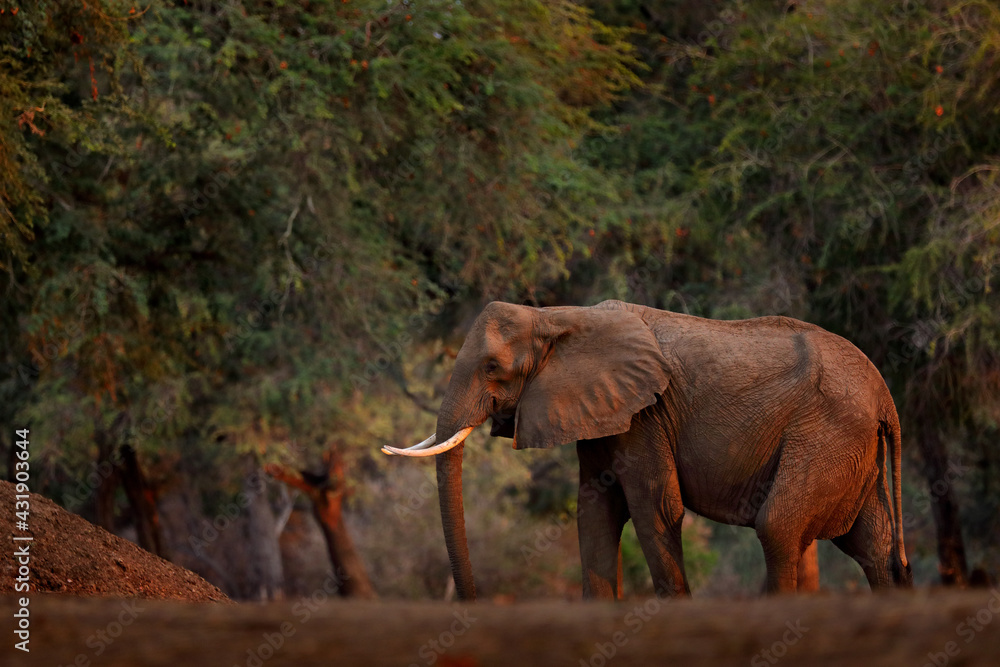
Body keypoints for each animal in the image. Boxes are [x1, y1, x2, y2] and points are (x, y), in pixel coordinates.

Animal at [383, 300, 912, 600]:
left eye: (492, 367)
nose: (470, 598)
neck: (557, 316)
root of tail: (886, 396)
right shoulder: (602, 412)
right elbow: (594, 509)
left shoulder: (645, 413)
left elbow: (654, 506)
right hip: (852, 450)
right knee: (874, 547)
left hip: (828, 434)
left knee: (779, 527)